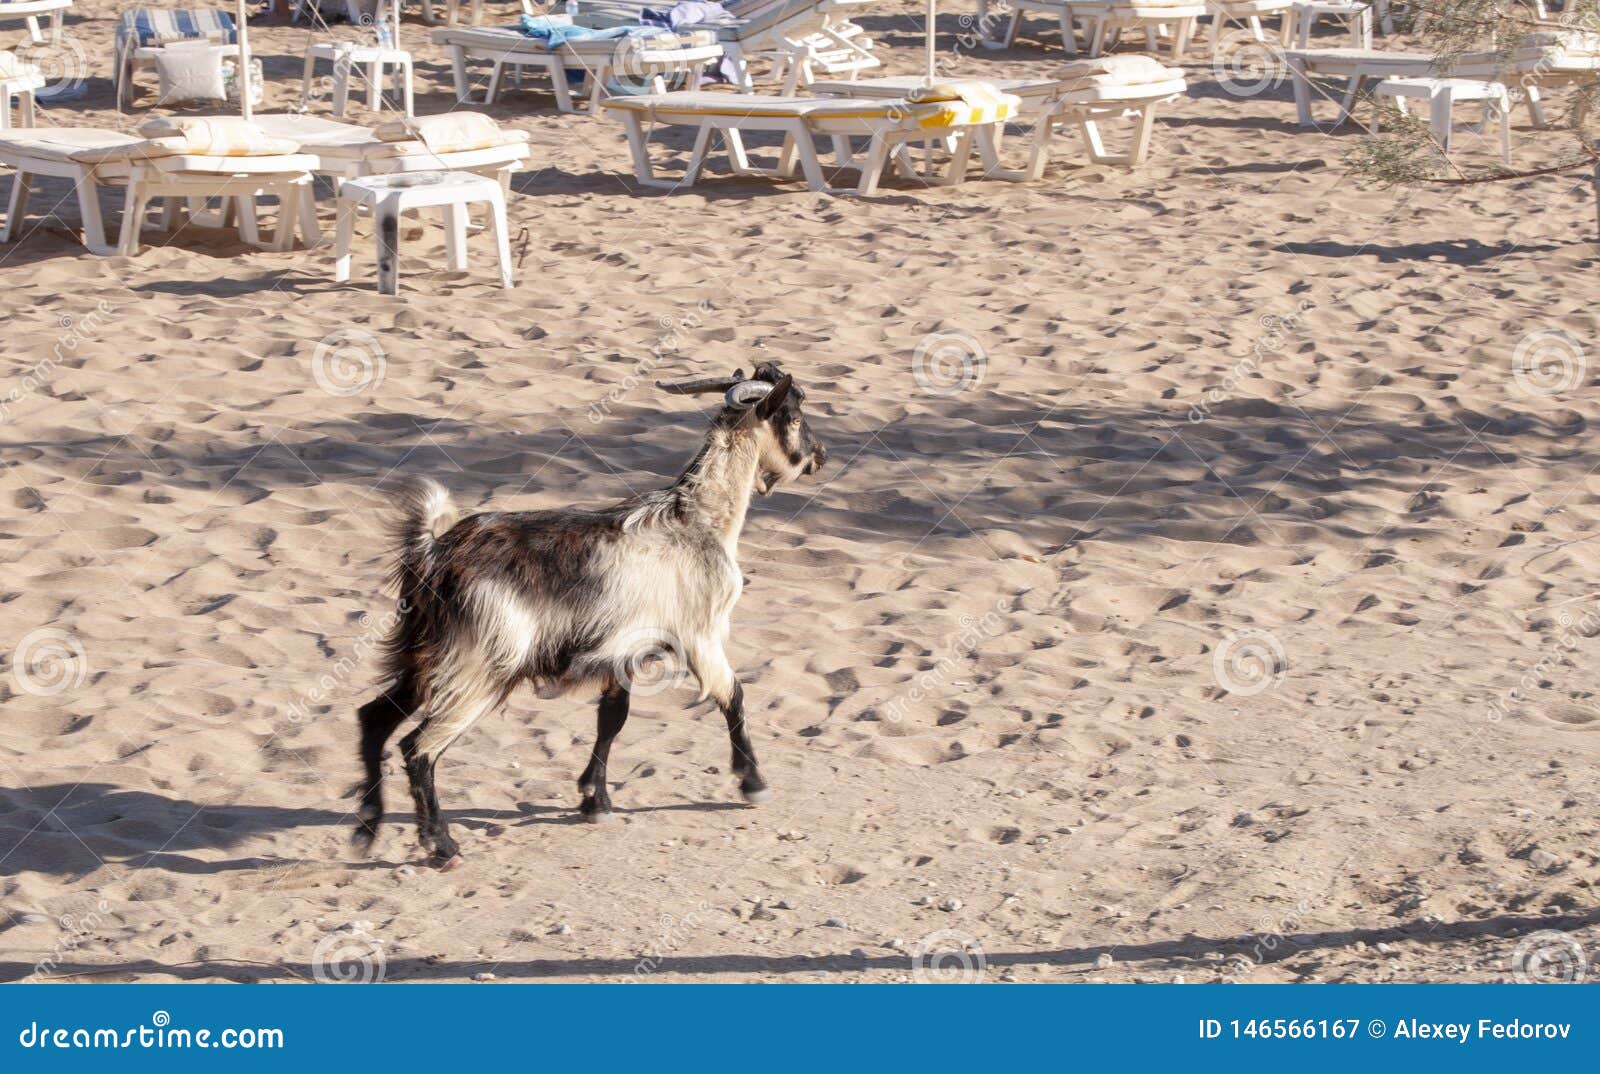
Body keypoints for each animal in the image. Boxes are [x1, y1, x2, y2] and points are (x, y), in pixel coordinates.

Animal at [352, 361, 827, 867]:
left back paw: (367, 827)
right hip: (479, 667)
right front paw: (752, 782)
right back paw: (440, 844)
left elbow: (611, 719)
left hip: (421, 656)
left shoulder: (623, 651)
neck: (698, 520)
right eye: (795, 417)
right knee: (418, 748)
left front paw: (593, 800)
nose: (821, 455)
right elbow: (732, 695)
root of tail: (433, 553)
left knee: (373, 719)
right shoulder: (701, 638)